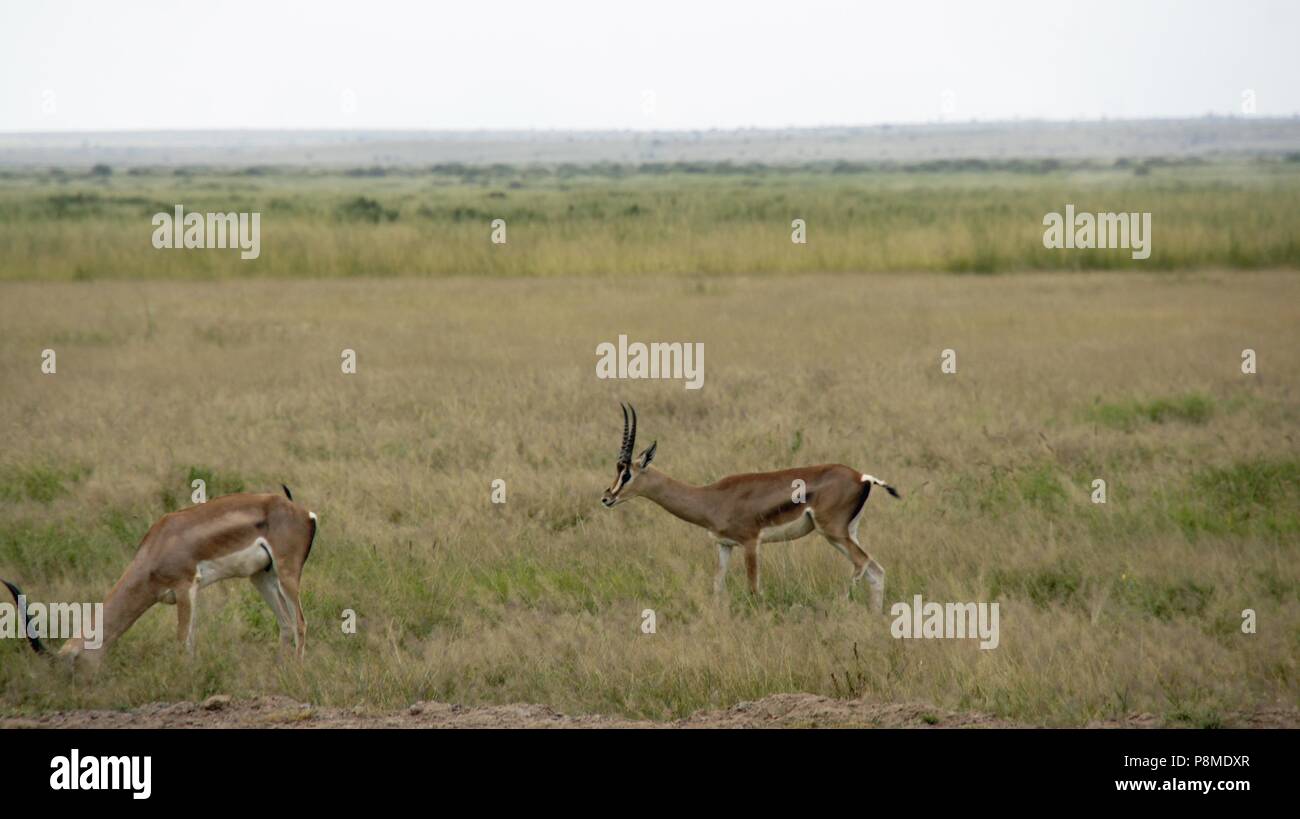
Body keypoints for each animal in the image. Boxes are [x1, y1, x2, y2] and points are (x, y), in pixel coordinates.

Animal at [2, 486, 317, 666]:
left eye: (70, 669)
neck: (155, 548)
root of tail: (305, 513)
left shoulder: (185, 586)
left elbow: (182, 643)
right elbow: (189, 640)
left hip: (287, 574)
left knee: (301, 622)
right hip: (260, 577)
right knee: (286, 623)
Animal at [601, 404, 900, 611]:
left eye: (626, 473)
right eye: (617, 470)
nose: (607, 497)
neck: (712, 497)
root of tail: (862, 477)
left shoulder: (750, 542)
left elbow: (754, 590)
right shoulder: (724, 545)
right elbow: (717, 587)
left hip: (832, 531)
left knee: (862, 563)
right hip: (848, 532)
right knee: (877, 571)